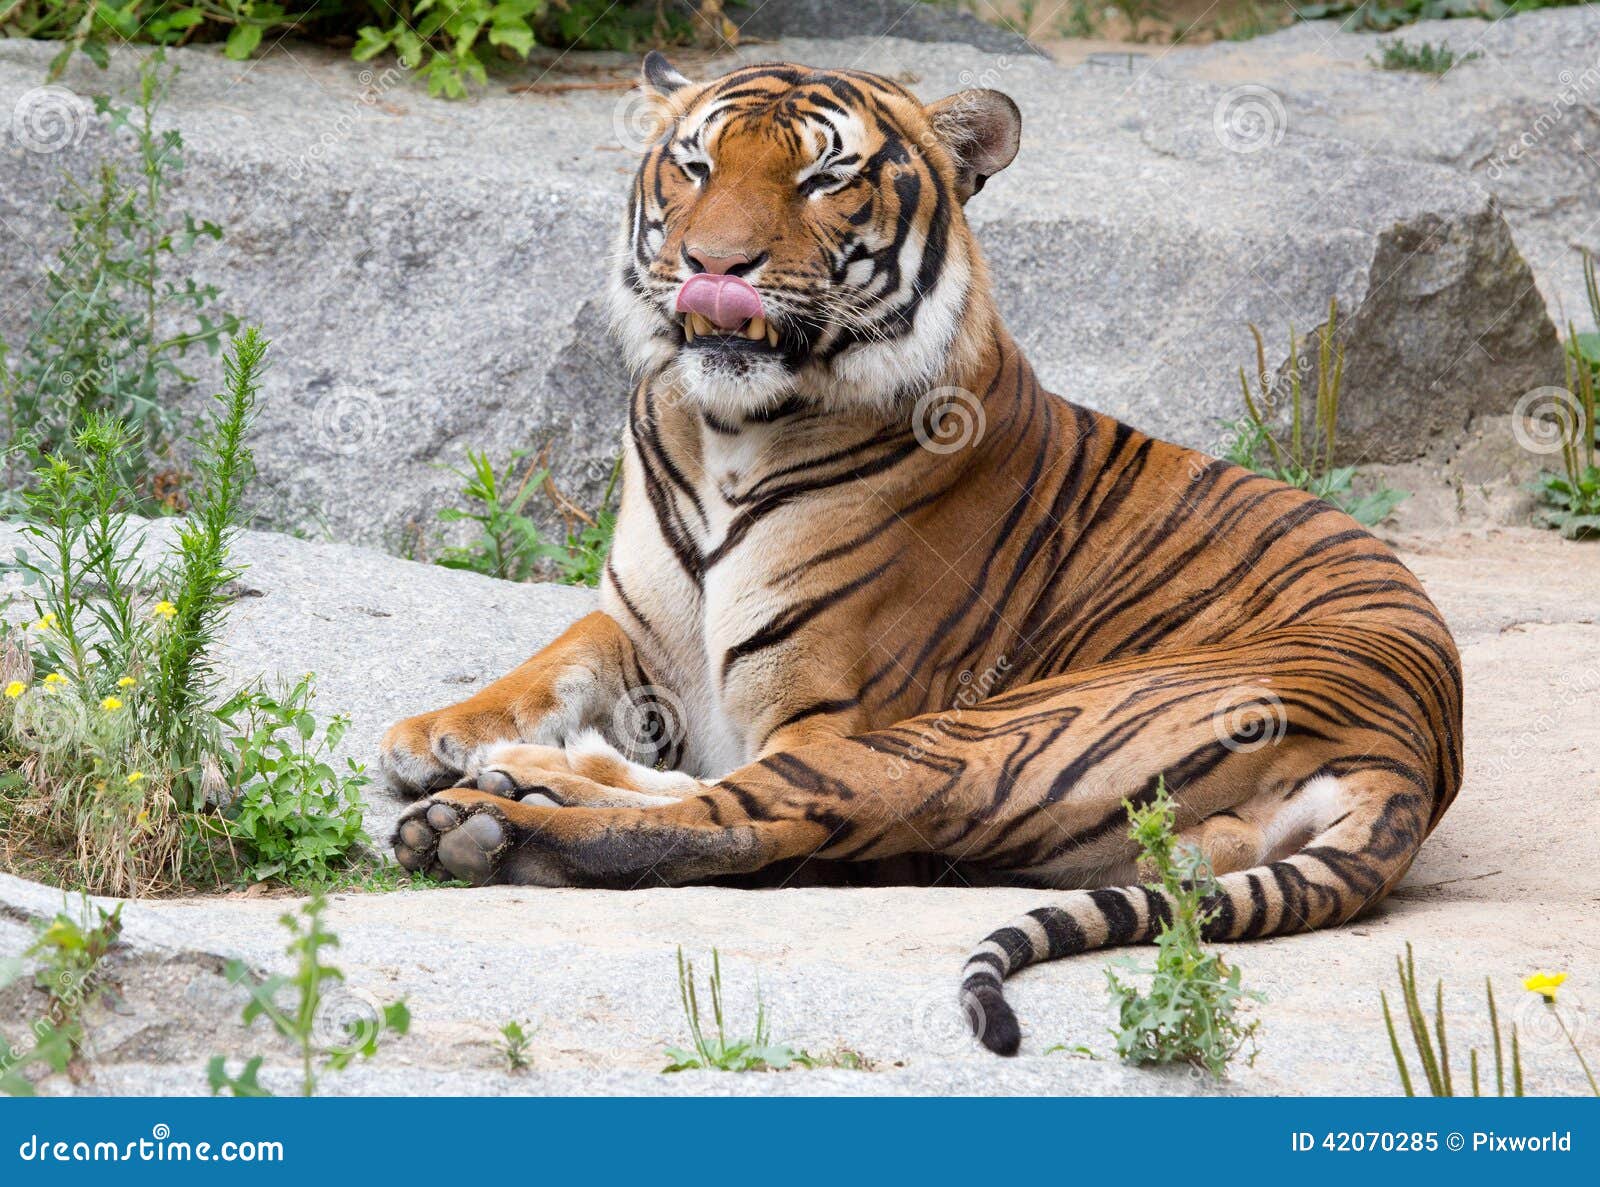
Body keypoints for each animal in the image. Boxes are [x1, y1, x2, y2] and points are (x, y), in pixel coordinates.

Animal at [384, 52, 1463, 1055]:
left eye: (824, 177)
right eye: (694, 165)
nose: (715, 264)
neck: (723, 433)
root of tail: (1405, 756)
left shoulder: (824, 704)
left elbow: (743, 798)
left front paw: (463, 778)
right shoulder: (640, 623)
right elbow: (557, 654)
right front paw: (435, 734)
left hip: (972, 737)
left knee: (750, 821)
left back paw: (486, 824)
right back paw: (521, 774)